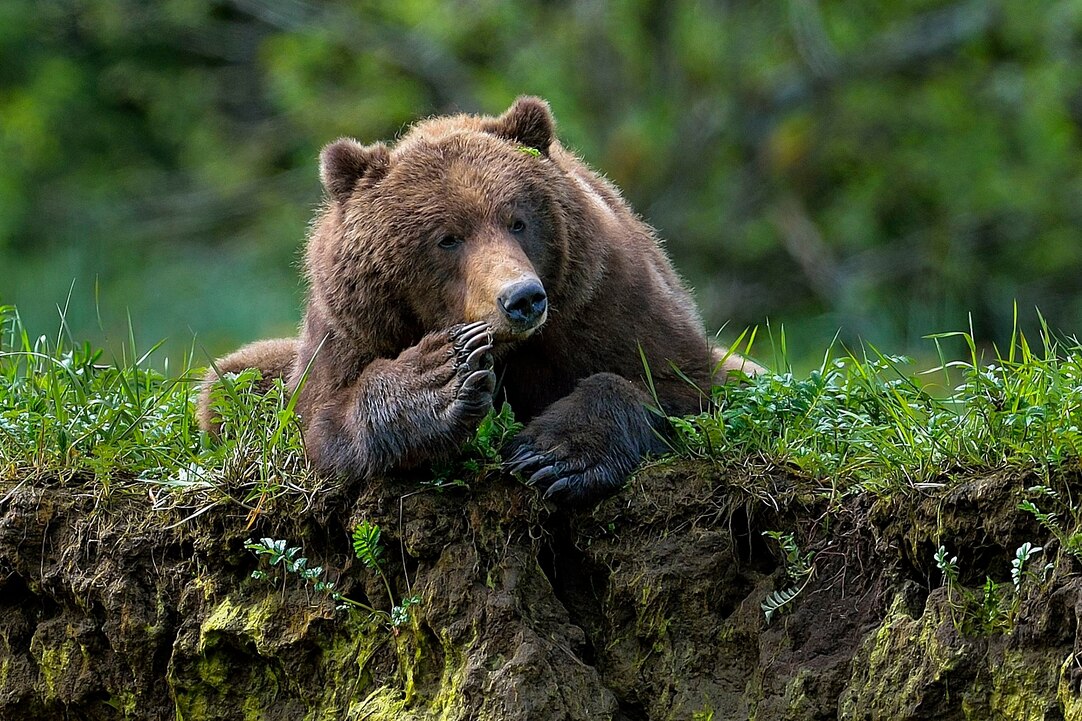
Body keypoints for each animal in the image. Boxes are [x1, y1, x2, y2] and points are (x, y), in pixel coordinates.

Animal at [197, 96, 759, 504]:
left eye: (519, 220)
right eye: (447, 238)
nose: (523, 298)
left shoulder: (607, 302)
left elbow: (675, 385)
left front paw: (552, 454)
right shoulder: (350, 330)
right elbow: (321, 418)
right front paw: (444, 373)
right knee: (231, 377)